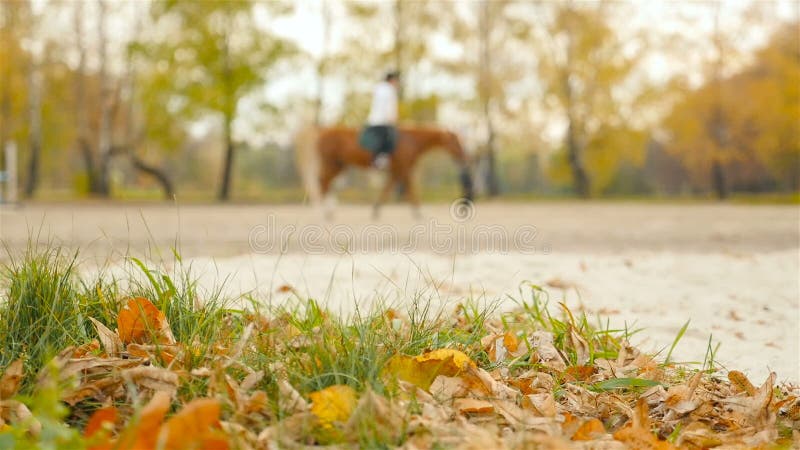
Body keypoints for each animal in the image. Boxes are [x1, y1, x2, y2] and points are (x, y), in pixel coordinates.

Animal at [295, 125, 474, 219]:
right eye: (456, 142)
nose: (465, 158)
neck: (411, 141)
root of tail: (323, 131)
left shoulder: (397, 170)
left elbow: (388, 188)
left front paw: (376, 210)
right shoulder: (403, 168)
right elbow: (409, 188)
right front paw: (418, 212)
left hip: (339, 165)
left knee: (324, 183)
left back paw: (328, 210)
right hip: (332, 164)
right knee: (322, 182)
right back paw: (324, 211)